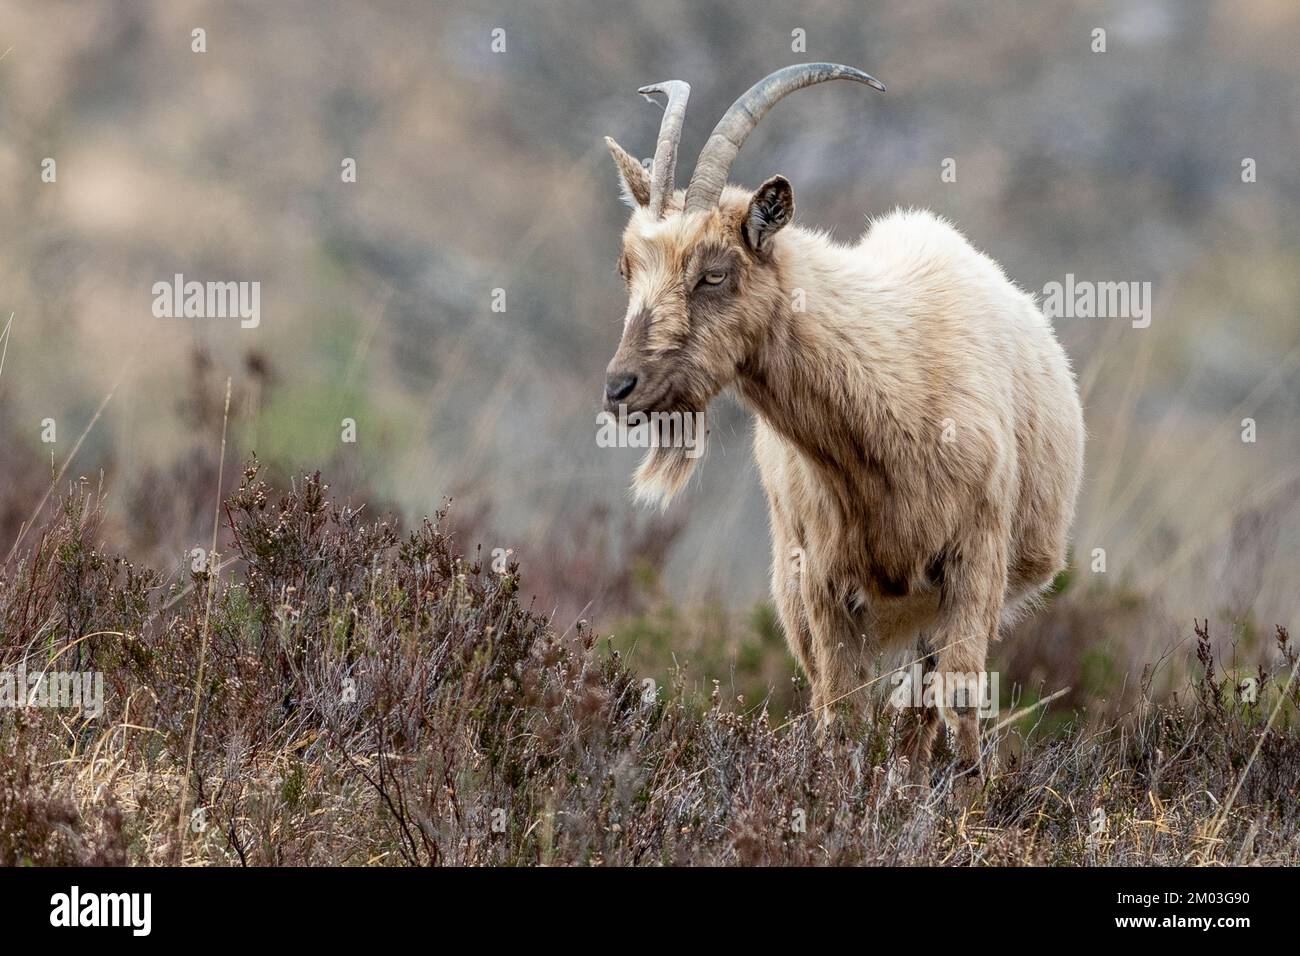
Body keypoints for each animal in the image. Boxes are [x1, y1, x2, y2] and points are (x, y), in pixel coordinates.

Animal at [598, 65, 1086, 780]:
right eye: (627, 267)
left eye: (714, 273)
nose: (621, 388)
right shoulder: (822, 579)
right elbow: (839, 705)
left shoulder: (976, 557)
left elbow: (962, 696)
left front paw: (970, 796)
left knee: (926, 699)